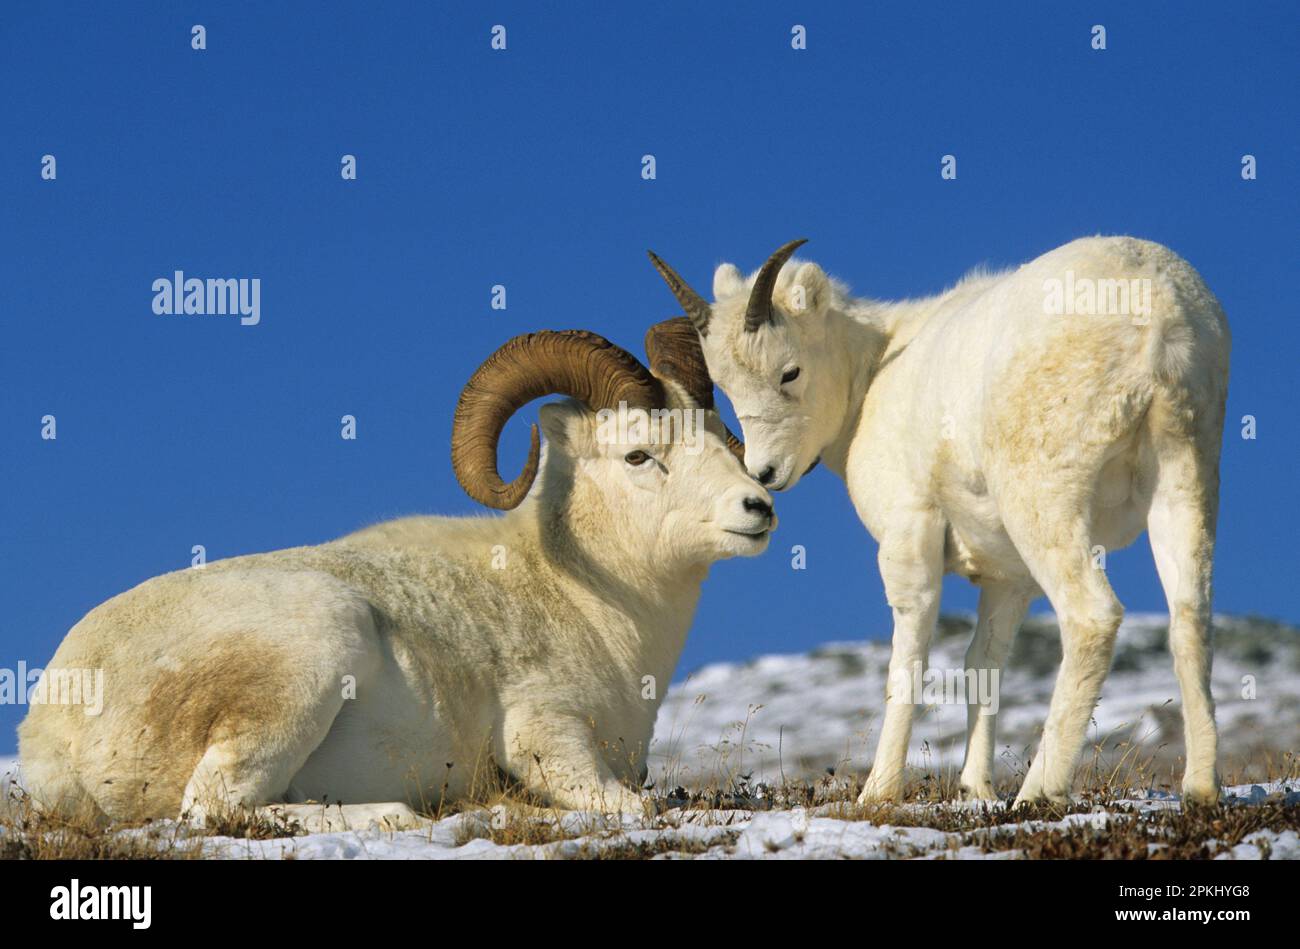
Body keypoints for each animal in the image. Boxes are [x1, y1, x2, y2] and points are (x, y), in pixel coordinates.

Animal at [17, 321, 769, 826]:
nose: (757, 507)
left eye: (719, 435)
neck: (586, 598)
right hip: (316, 652)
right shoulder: (548, 736)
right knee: (216, 807)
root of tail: (53, 728)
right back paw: (395, 814)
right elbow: (631, 804)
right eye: (640, 454)